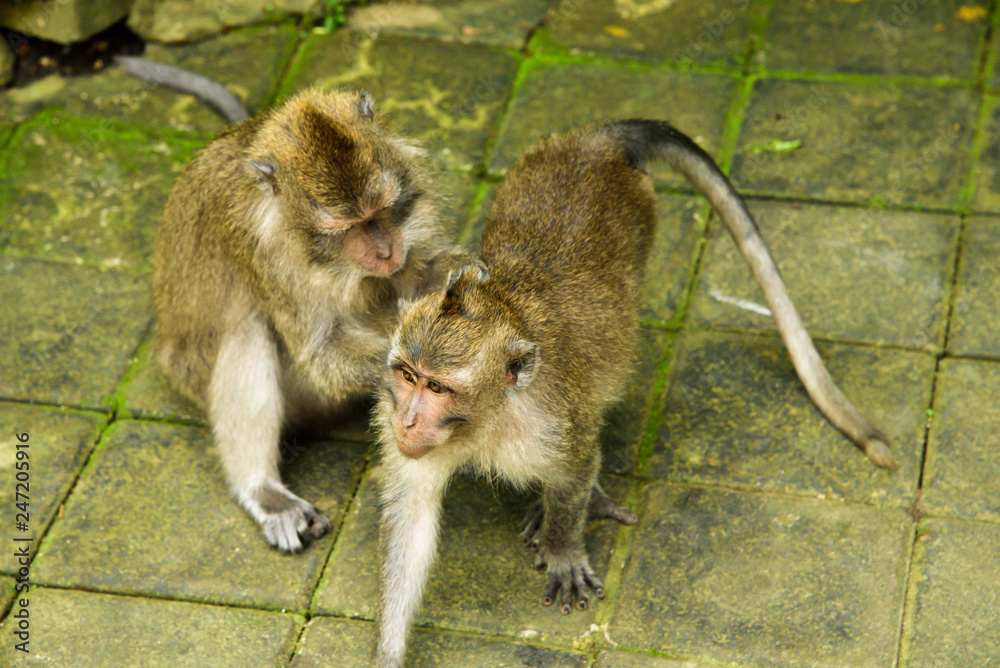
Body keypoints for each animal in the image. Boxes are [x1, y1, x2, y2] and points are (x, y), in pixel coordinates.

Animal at [145, 68, 469, 552]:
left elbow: (422, 273)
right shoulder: (262, 250)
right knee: (248, 329)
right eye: (349, 227)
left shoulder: (414, 196)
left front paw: (464, 272)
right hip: (197, 375)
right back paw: (264, 490)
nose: (386, 251)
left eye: (381, 212)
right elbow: (322, 355)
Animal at [370, 120, 893, 667]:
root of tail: (595, 141)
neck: (487, 419)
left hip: (642, 215)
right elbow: (410, 518)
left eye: (438, 386)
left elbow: (575, 471)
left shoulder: (550, 425)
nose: (406, 421)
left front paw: (562, 546)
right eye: (407, 375)